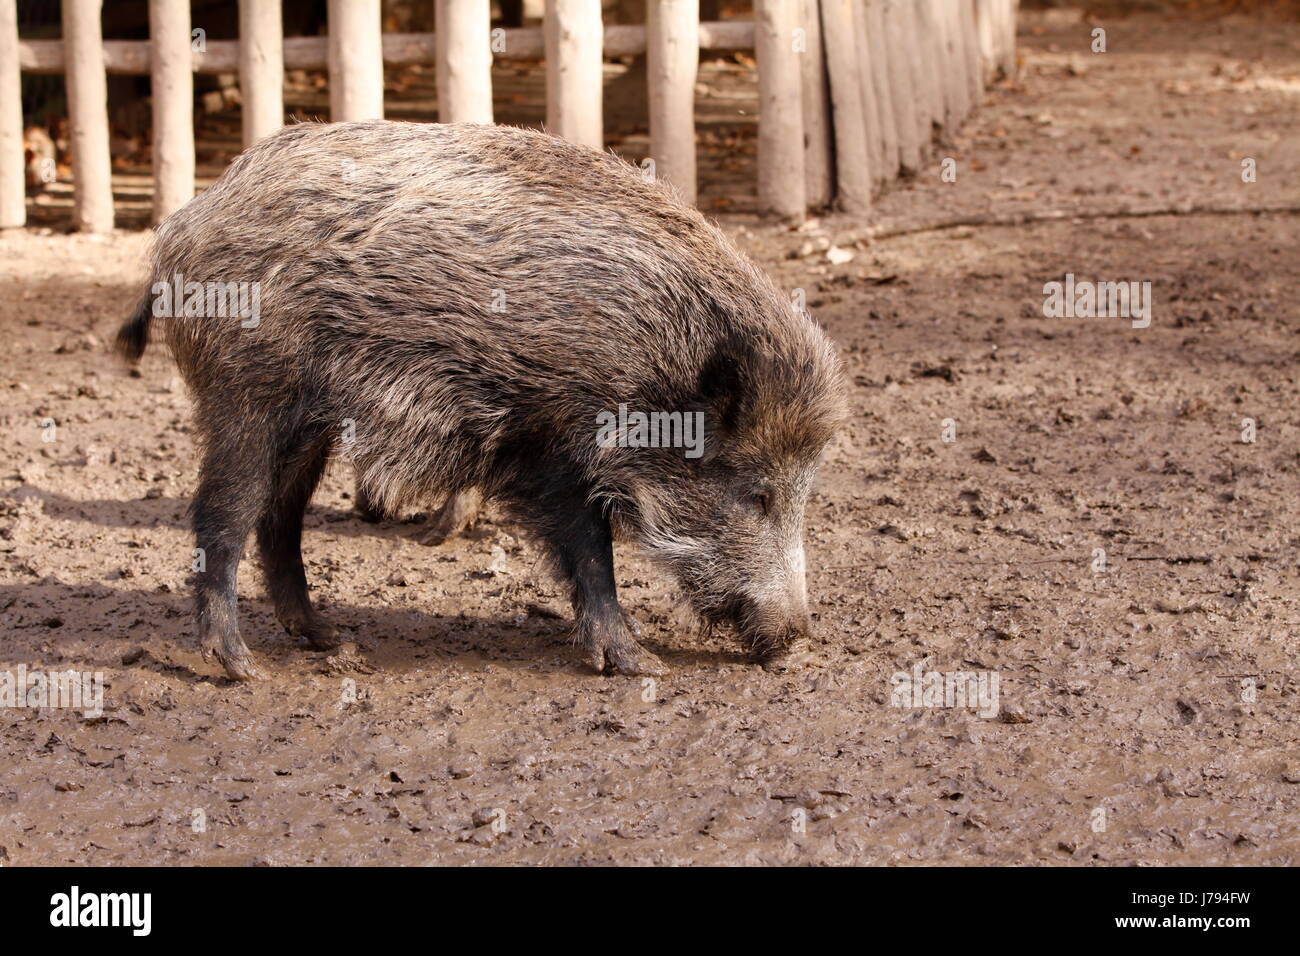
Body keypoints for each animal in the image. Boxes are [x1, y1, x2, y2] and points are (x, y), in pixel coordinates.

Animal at [116, 120, 845, 681]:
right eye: (757, 494)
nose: (799, 637)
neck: (651, 368)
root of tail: (183, 224)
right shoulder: (551, 446)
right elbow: (591, 553)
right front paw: (641, 665)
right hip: (246, 395)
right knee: (223, 514)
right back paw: (240, 667)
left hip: (308, 421)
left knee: (280, 517)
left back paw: (327, 640)